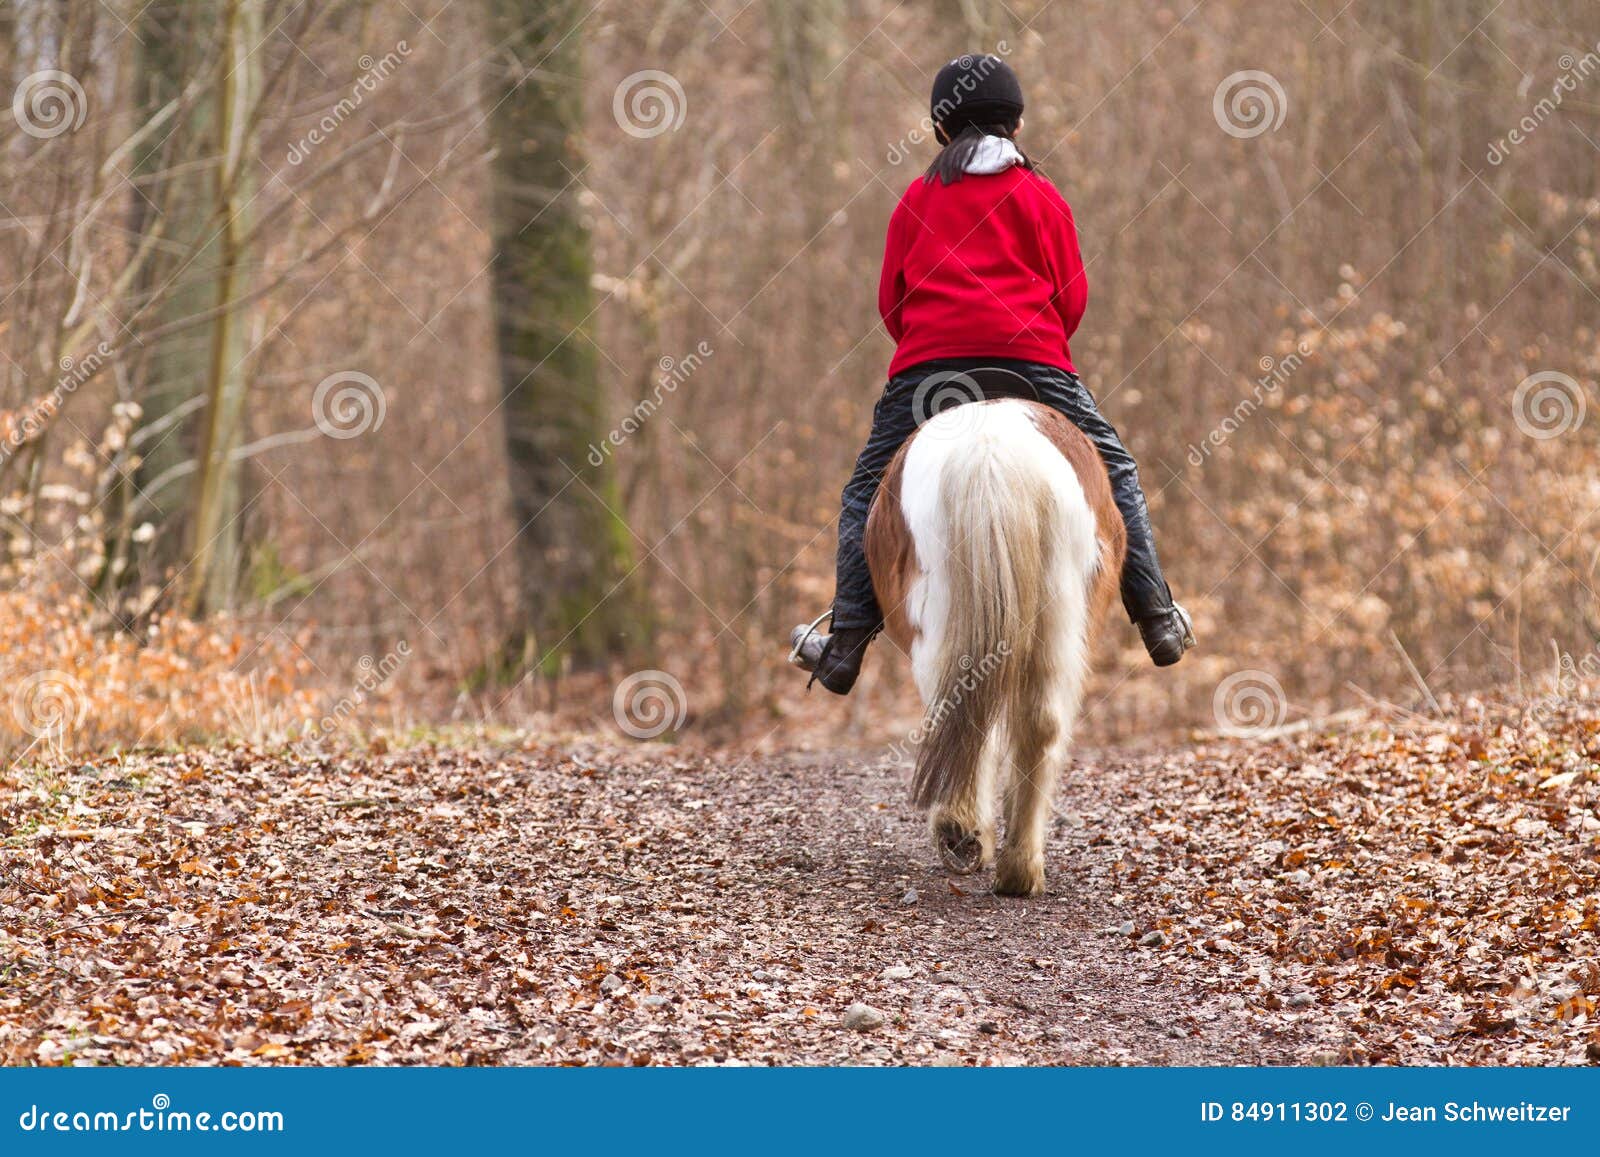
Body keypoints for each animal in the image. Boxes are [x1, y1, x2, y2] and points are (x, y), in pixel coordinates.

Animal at [864, 398, 1125, 896]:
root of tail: (989, 454)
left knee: (966, 711)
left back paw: (965, 834)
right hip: (1059, 615)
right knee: (1039, 722)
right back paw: (1018, 866)